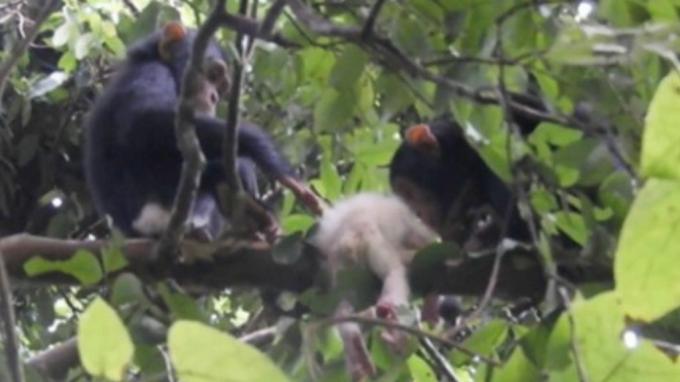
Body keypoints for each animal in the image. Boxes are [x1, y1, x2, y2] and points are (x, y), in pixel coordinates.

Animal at [85, 21, 318, 239]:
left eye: (221, 89)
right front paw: (268, 158)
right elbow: (144, 121)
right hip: (157, 212)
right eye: (212, 74)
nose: (214, 97)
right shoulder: (152, 74)